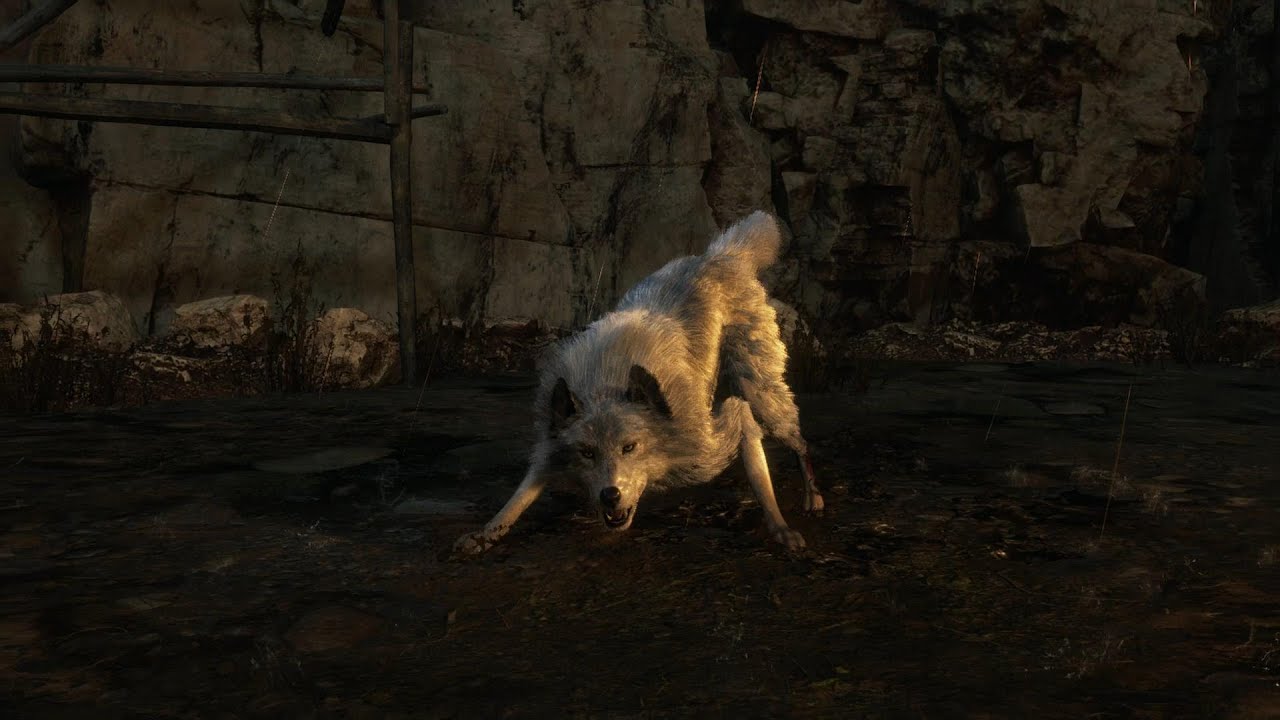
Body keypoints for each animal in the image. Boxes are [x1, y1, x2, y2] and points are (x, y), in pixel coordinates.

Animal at [453, 211, 823, 554]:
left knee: (794, 439)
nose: (609, 495)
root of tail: (719, 255)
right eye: (587, 453)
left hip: (760, 391)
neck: (605, 385)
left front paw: (779, 522)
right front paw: (485, 534)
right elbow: (519, 497)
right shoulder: (550, 444)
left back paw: (807, 501)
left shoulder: (705, 445)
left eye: (629, 447)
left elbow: (744, 434)